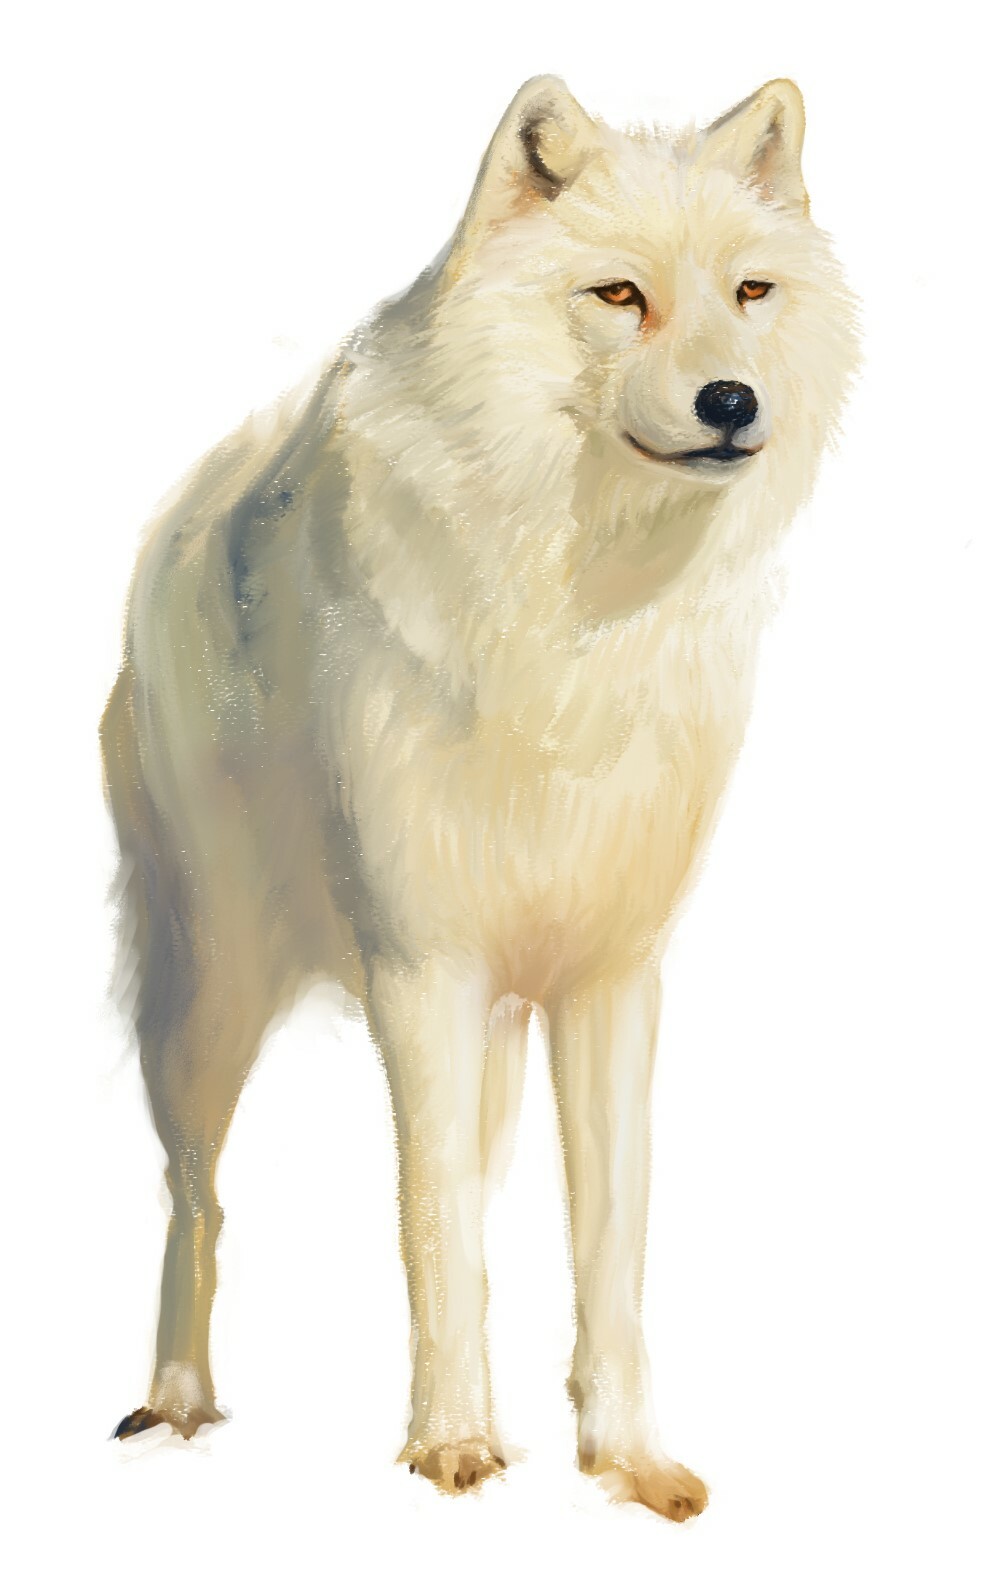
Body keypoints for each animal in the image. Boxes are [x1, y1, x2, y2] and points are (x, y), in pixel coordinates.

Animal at [102, 76, 857, 1518]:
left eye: (748, 292)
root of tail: (185, 517)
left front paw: (626, 1460)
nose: (730, 400)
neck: (572, 624)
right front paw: (452, 1442)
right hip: (212, 998)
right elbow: (434, 1225)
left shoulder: (612, 978)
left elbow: (607, 1241)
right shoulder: (423, 967)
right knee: (192, 1192)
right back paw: (175, 1401)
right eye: (617, 294)